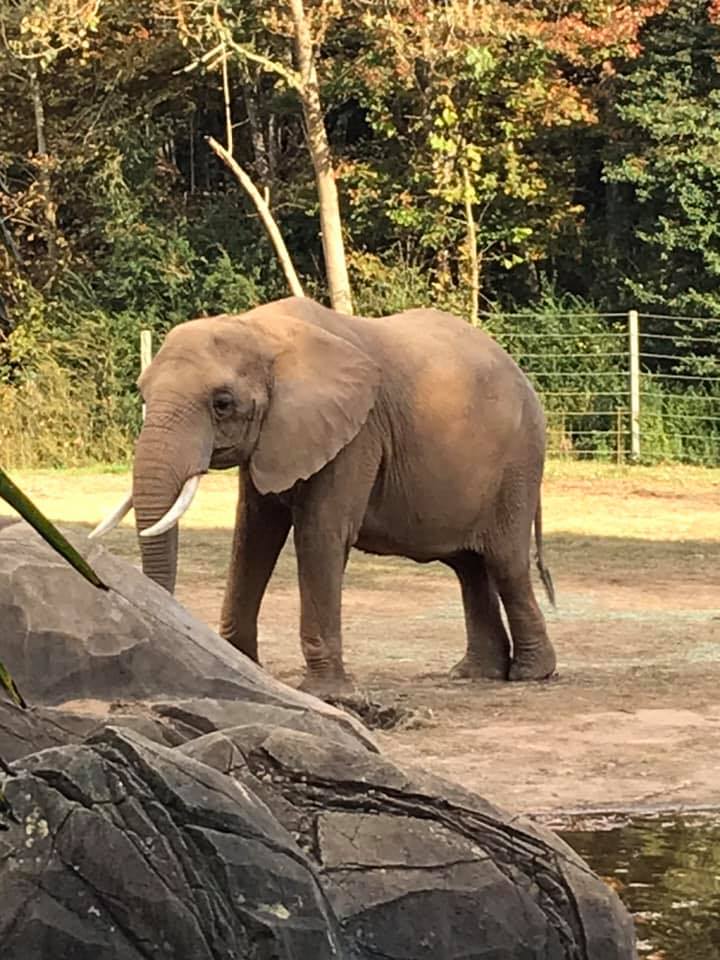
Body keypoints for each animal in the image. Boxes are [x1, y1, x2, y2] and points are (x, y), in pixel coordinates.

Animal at [90, 296, 557, 694]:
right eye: (143, 393)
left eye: (222, 403)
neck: (262, 330)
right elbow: (253, 536)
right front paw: (244, 669)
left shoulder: (357, 434)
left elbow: (320, 533)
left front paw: (326, 694)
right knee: (468, 566)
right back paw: (474, 674)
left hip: (518, 463)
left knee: (505, 562)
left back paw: (530, 675)